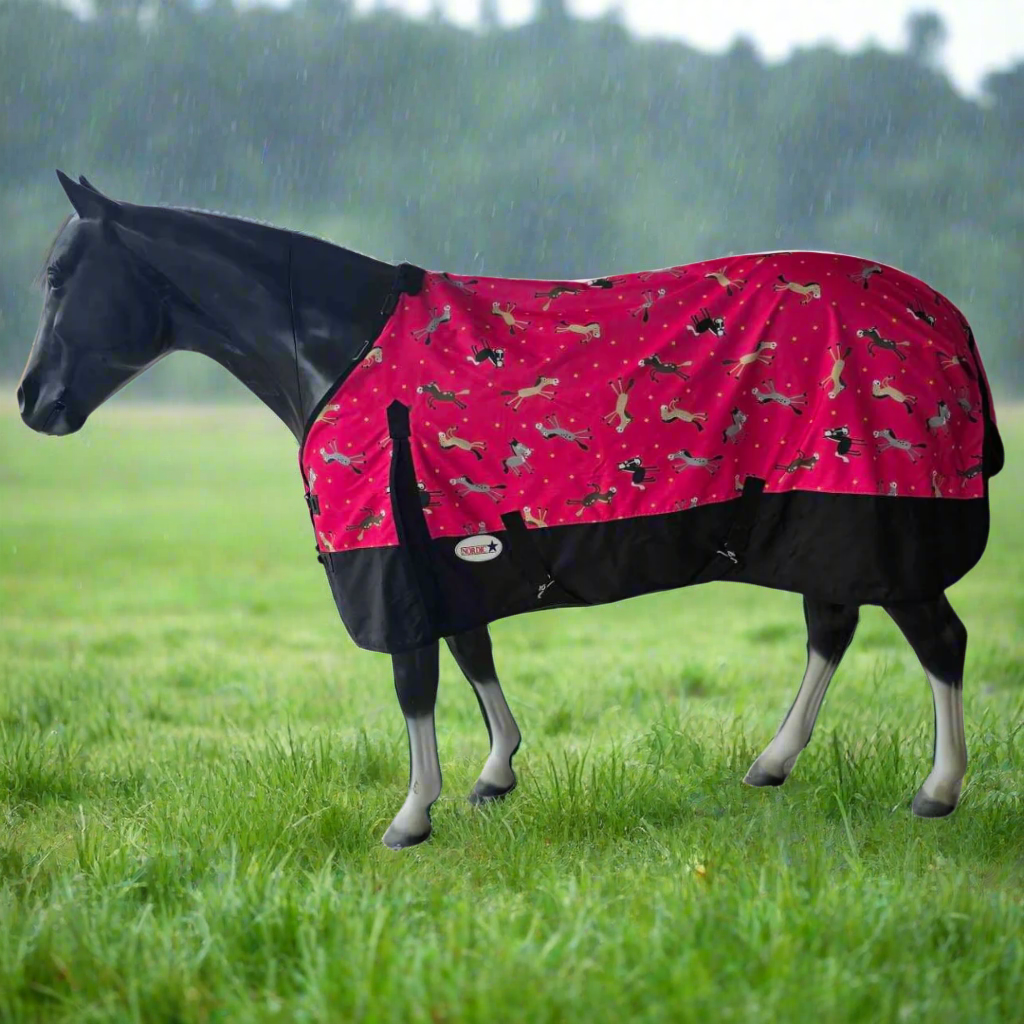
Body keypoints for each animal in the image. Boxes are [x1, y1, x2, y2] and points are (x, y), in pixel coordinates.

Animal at [17, 172, 1004, 849]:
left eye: (62, 274)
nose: (32, 402)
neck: (340, 346)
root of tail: (946, 319)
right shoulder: (449, 543)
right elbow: (471, 651)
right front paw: (494, 775)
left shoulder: (393, 553)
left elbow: (414, 679)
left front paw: (411, 816)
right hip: (825, 522)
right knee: (833, 626)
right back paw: (773, 761)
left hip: (878, 516)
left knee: (938, 640)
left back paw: (938, 791)